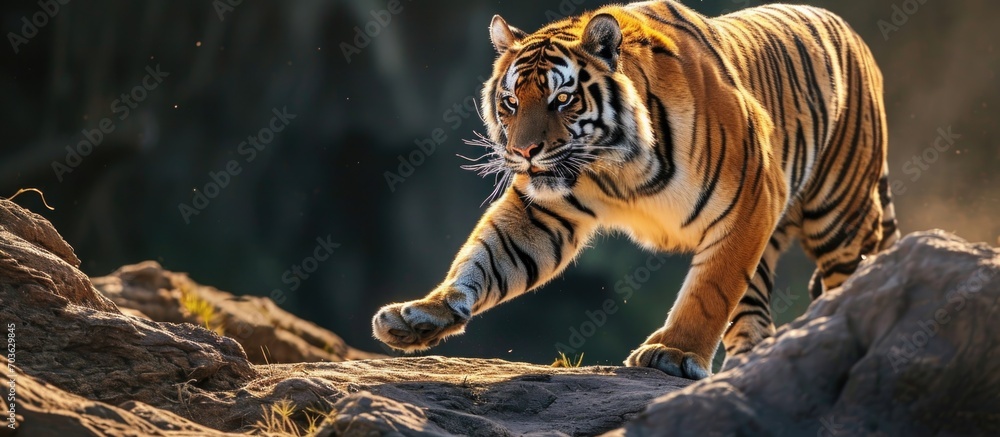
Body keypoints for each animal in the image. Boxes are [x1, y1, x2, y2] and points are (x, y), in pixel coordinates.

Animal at [372, 0, 900, 379]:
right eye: (511, 102)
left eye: (561, 98)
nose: (523, 151)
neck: (617, 168)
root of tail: (852, 33)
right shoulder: (542, 211)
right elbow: (487, 257)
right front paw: (424, 314)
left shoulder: (752, 198)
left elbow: (710, 288)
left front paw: (674, 352)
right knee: (754, 314)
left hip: (839, 214)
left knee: (855, 271)